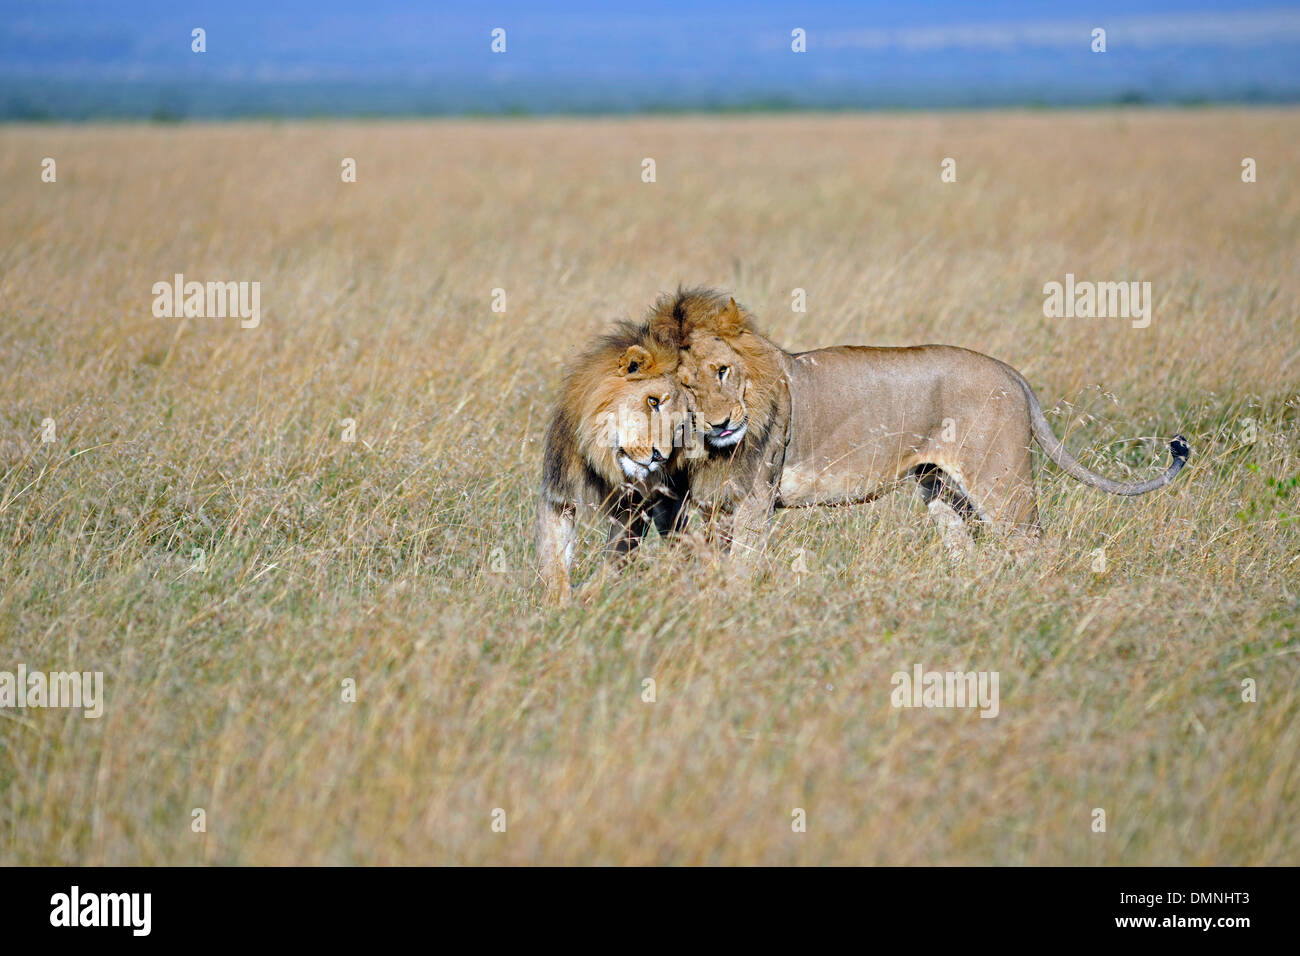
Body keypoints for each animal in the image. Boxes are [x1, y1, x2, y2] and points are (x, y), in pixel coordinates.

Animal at [536, 320, 689, 603]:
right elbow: (553, 559)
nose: (659, 456)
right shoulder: (559, 492)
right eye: (653, 401)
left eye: (682, 425)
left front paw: (589, 596)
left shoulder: (635, 507)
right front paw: (558, 605)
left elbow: (616, 558)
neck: (605, 459)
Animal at [647, 287, 1190, 571]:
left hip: (1001, 481)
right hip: (939, 485)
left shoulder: (758, 497)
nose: (721, 424)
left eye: (723, 371)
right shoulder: (706, 504)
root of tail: (1011, 373)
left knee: (1036, 545)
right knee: (965, 548)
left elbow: (743, 564)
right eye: (685, 385)